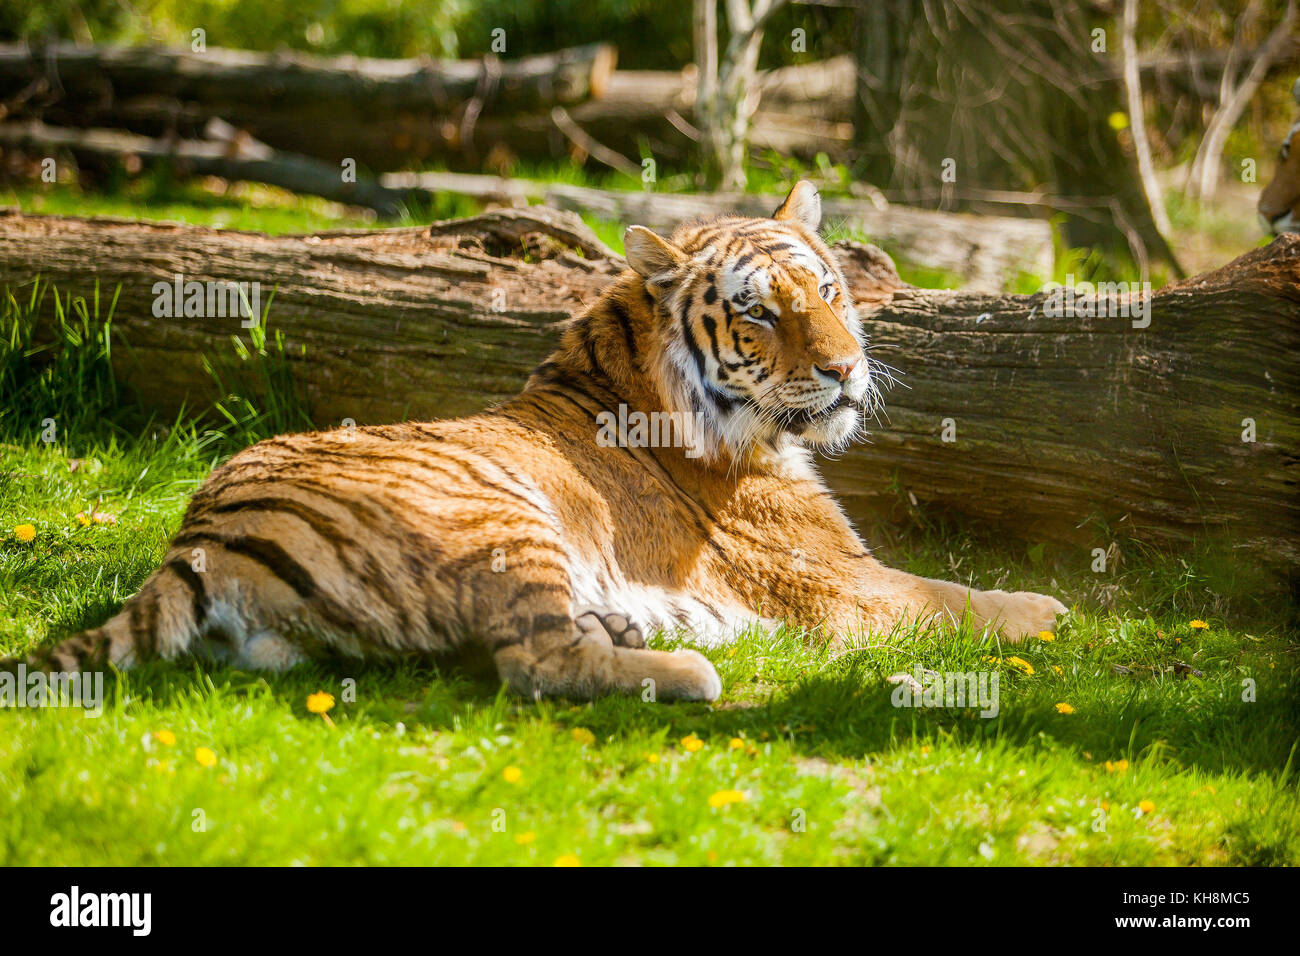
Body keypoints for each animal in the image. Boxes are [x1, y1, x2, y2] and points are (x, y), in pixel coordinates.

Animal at [7, 181, 1066, 701]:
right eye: (759, 314)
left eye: (833, 291)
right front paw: (1051, 611)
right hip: (503, 518)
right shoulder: (835, 580)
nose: (846, 369)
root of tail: (196, 536)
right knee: (535, 664)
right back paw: (683, 670)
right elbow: (950, 595)